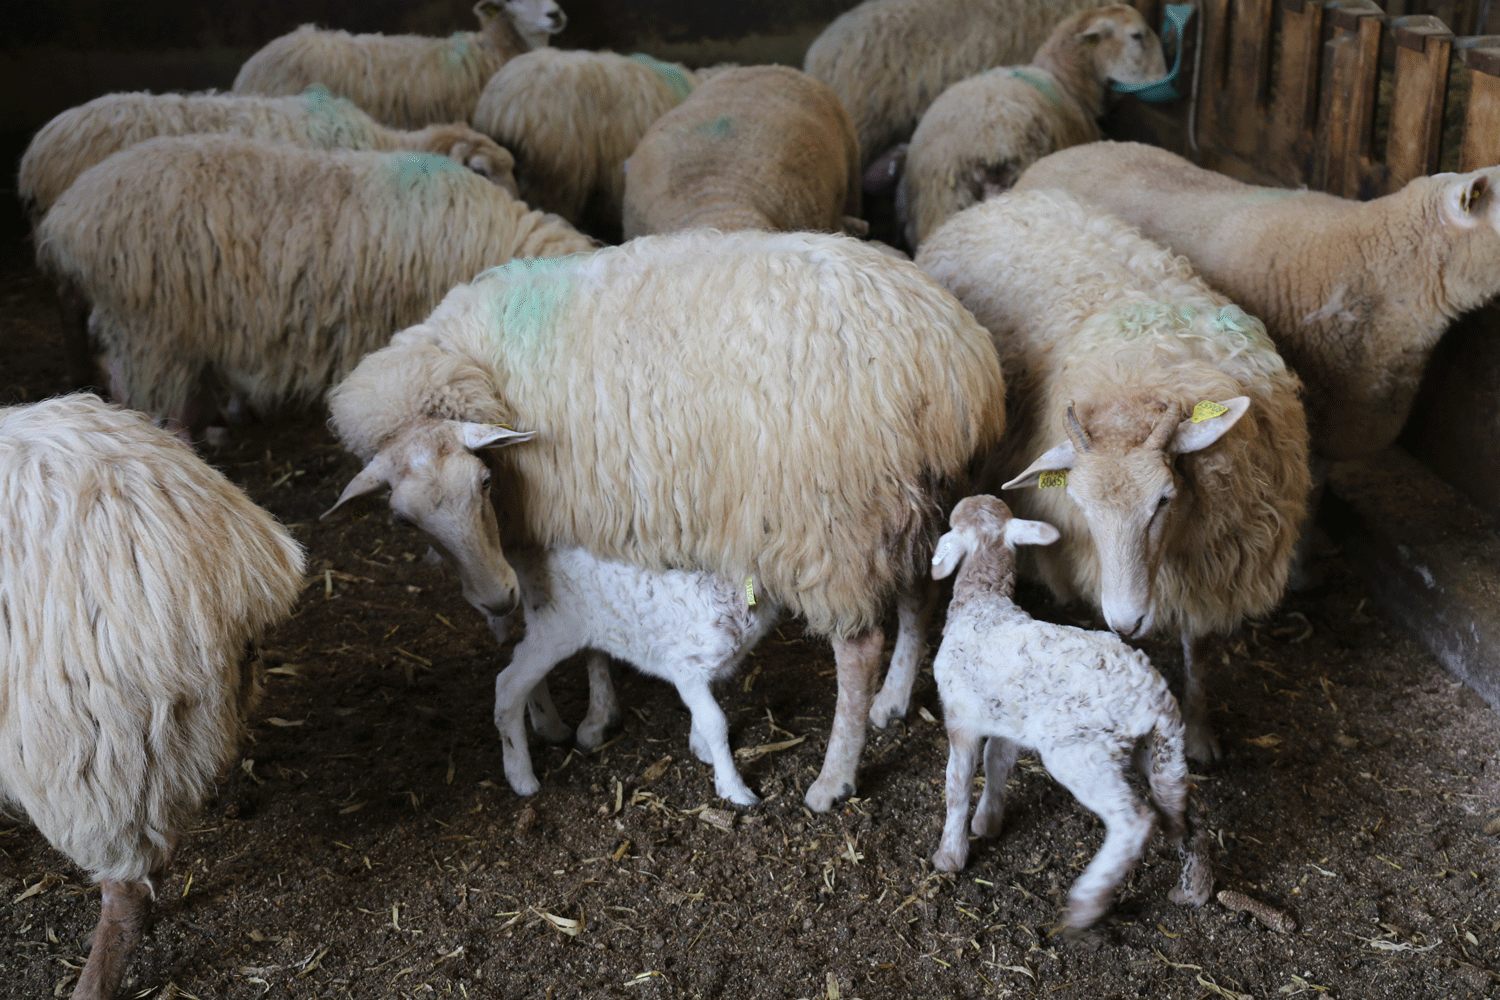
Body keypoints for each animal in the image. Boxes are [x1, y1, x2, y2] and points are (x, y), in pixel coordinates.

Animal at [489, 545, 781, 806]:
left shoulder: (707, 667)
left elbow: (703, 714)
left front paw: (701, 749)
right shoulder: (685, 667)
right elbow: (715, 722)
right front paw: (735, 789)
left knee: (522, 667)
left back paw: (549, 728)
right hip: (556, 629)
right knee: (508, 684)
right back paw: (521, 777)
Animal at [915, 189, 1312, 763]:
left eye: (1165, 499)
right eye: (1081, 506)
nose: (1127, 619)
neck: (1138, 389)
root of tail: (1002, 199)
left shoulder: (1212, 564)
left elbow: (1199, 648)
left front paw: (1199, 733)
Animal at [928, 495, 1212, 929]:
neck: (983, 602)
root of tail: (1153, 697)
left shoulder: (961, 717)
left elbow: (957, 785)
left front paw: (950, 856)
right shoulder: (1008, 722)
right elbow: (997, 765)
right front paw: (988, 823)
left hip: (1082, 754)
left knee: (1134, 821)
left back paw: (1085, 906)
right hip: (1161, 750)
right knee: (1183, 809)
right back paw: (1192, 891)